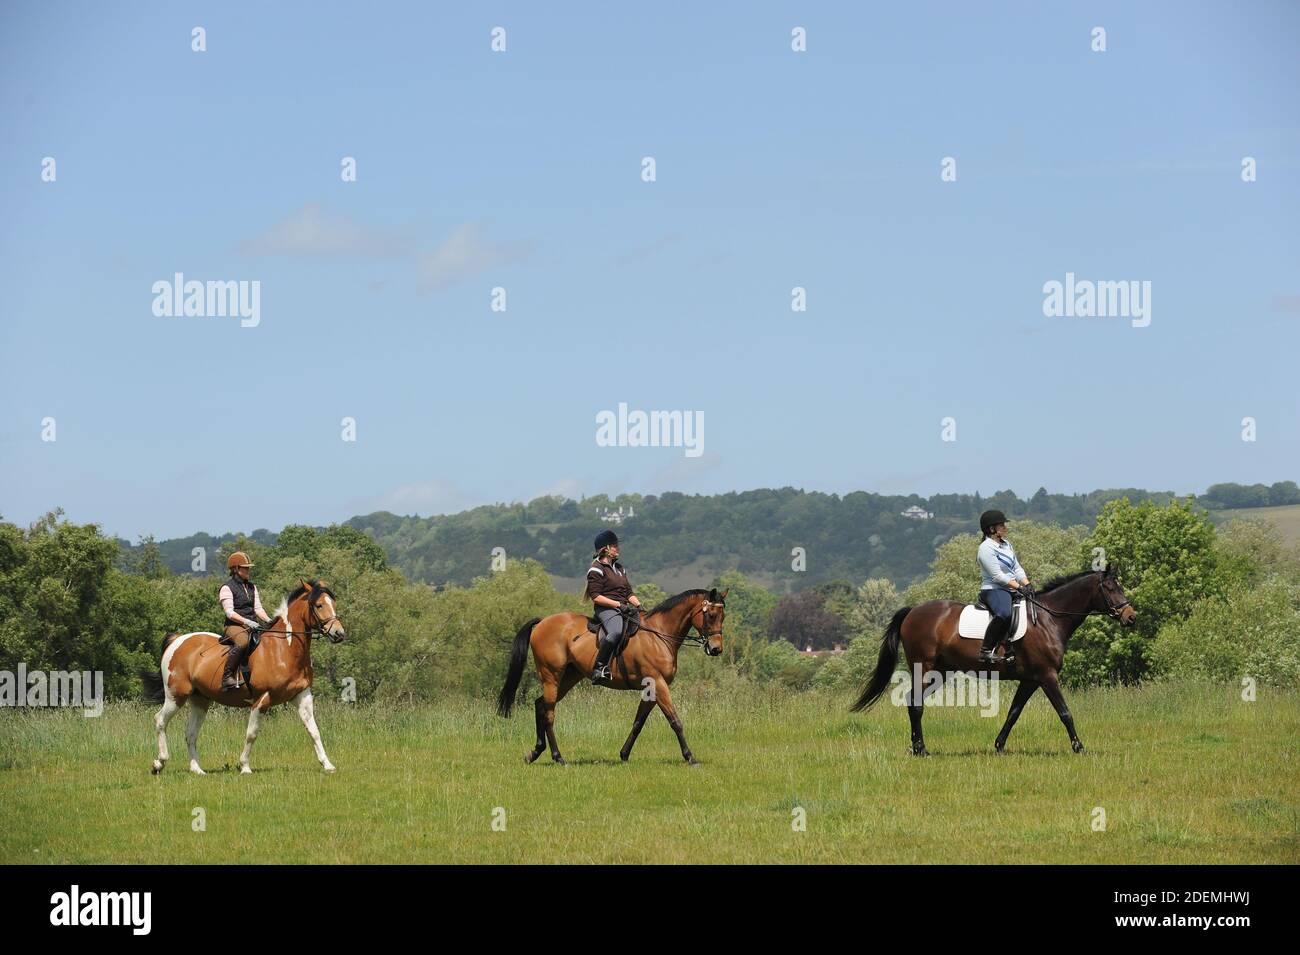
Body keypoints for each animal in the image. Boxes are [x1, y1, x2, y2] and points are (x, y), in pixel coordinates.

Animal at [140, 579, 346, 775]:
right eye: (319, 605)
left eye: (334, 603)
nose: (339, 634)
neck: (283, 649)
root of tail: (177, 640)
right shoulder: (262, 699)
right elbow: (252, 734)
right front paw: (245, 766)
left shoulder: (302, 696)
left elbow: (314, 731)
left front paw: (327, 765)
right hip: (176, 696)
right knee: (160, 720)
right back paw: (159, 763)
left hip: (200, 700)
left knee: (190, 733)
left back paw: (197, 769)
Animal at [496, 588, 727, 766]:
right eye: (710, 615)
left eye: (723, 616)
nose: (716, 649)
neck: (659, 635)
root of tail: (543, 621)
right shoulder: (658, 684)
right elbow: (675, 721)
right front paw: (690, 758)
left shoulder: (651, 689)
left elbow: (638, 723)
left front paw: (624, 755)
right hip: (551, 675)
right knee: (549, 713)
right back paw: (558, 757)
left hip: (570, 676)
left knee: (540, 705)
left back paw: (535, 752)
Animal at [850, 567, 1136, 755]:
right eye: (1111, 588)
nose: (1130, 617)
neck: (1048, 620)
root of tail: (912, 612)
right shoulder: (1047, 676)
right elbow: (1065, 712)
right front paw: (1079, 747)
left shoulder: (1031, 680)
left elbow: (1014, 712)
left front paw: (999, 746)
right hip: (925, 669)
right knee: (915, 703)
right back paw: (920, 749)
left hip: (941, 672)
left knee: (915, 702)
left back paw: (918, 747)